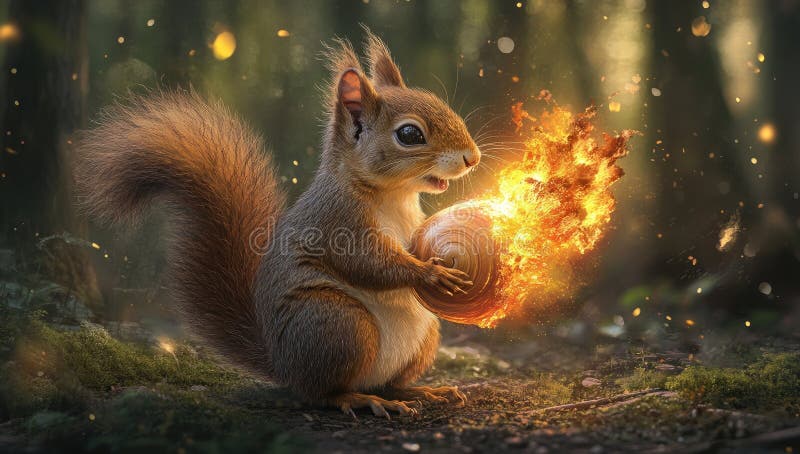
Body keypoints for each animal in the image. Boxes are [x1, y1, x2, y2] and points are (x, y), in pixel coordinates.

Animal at [75, 31, 481, 418]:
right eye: (410, 135)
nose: (472, 158)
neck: (394, 195)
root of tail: (281, 363)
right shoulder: (338, 222)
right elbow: (369, 263)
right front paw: (429, 272)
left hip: (423, 335)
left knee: (389, 384)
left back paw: (420, 391)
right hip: (338, 323)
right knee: (323, 392)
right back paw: (361, 399)